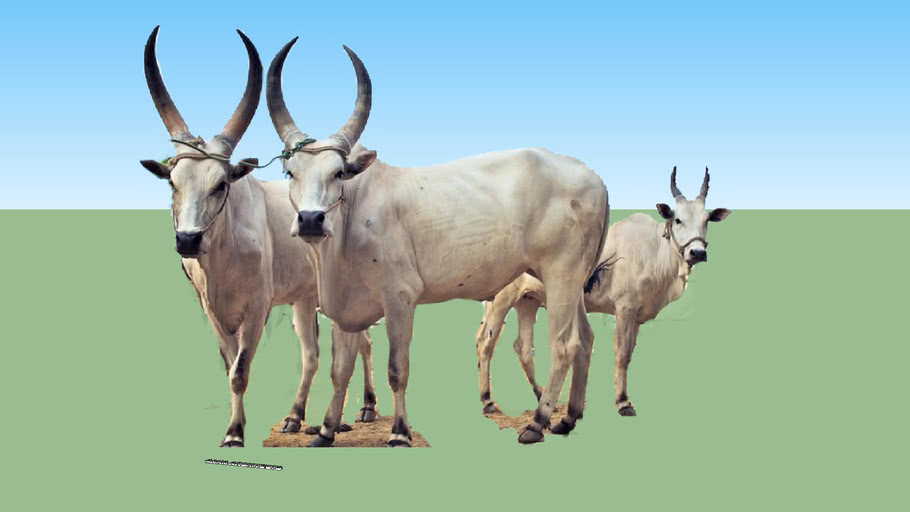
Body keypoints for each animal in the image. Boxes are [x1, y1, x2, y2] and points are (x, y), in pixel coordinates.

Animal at [138, 27, 377, 447]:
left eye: (221, 184)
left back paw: (362, 409)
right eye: (172, 182)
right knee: (314, 354)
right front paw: (236, 427)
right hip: (304, 298)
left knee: (360, 344)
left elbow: (240, 371)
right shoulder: (211, 310)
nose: (187, 241)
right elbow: (230, 367)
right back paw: (296, 417)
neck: (224, 254)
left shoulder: (257, 308)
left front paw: (234, 434)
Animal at [266, 38, 610, 446]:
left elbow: (397, 368)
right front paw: (326, 430)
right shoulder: (346, 311)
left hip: (561, 274)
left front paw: (399, 432)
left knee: (563, 345)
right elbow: (339, 371)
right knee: (585, 339)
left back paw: (538, 422)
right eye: (291, 172)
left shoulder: (400, 299)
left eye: (338, 173)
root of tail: (595, 178)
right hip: (570, 282)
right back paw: (568, 417)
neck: (352, 216)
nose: (310, 220)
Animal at [475, 167, 731, 421]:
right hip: (502, 300)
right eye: (677, 219)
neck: (653, 250)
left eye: (707, 219)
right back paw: (488, 401)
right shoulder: (624, 308)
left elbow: (629, 353)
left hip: (528, 303)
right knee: (485, 342)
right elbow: (622, 353)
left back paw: (542, 396)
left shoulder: (636, 317)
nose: (697, 252)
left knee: (523, 347)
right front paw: (623, 402)